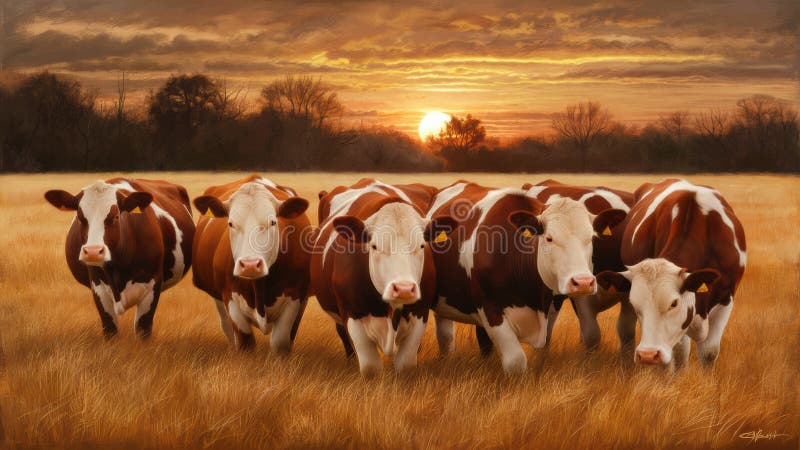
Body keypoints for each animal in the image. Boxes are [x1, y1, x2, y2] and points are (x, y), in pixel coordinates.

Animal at [45, 178, 195, 338]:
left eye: (115, 216)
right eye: (80, 217)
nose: (93, 252)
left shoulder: (153, 284)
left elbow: (143, 329)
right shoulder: (98, 287)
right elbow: (110, 330)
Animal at [192, 175, 313, 353]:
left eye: (273, 222)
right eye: (230, 223)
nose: (250, 264)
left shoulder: (294, 298)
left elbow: (280, 343)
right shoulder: (230, 299)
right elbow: (245, 343)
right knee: (226, 327)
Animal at [310, 178, 456, 376]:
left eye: (421, 245)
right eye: (374, 246)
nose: (403, 289)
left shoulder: (420, 313)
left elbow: (406, 365)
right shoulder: (352, 317)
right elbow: (371, 368)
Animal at [596, 179, 746, 368]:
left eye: (674, 303)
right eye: (635, 303)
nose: (647, 355)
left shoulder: (726, 297)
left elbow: (709, 352)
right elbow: (680, 354)